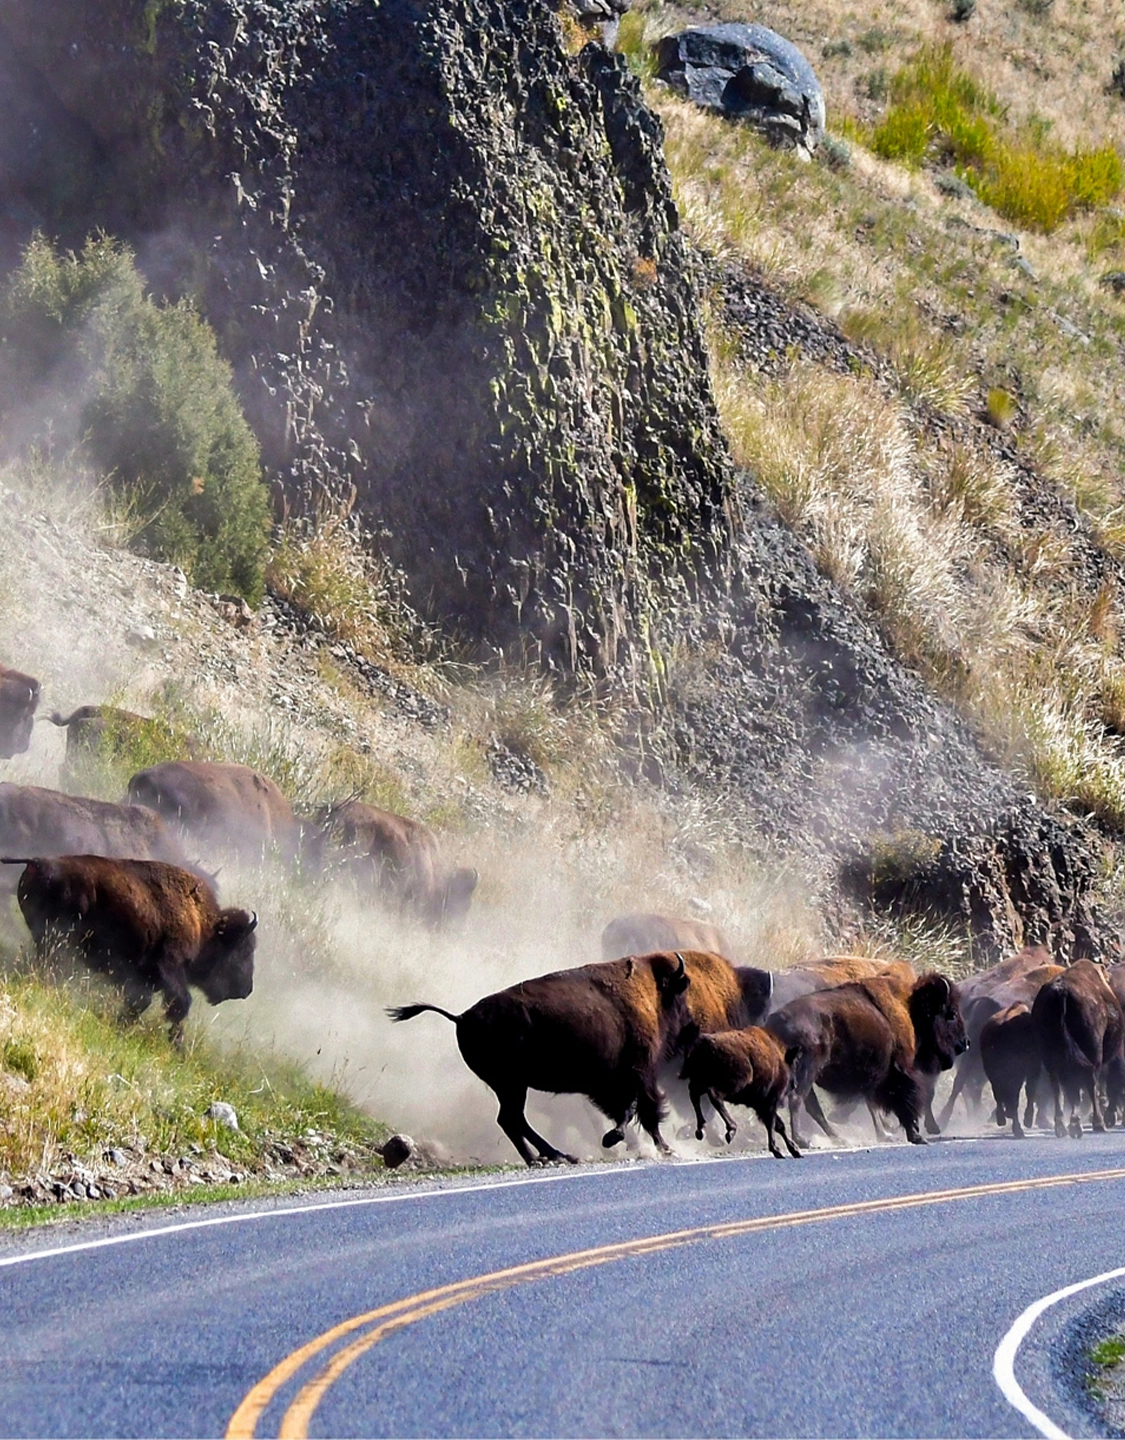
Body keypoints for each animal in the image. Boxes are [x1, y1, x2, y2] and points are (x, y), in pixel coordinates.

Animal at [7, 855, 257, 1046]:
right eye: (243, 950)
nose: (247, 989)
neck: (204, 924)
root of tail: (39, 861)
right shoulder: (169, 966)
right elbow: (178, 1005)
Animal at [388, 952, 693, 1164]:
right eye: (678, 995)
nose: (689, 1025)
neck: (650, 992)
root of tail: (461, 1017)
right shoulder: (640, 1074)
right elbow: (644, 1112)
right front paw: (663, 1149)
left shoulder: (615, 1084)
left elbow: (628, 1111)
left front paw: (617, 1139)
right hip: (511, 1085)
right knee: (511, 1119)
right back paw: (549, 1157)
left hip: (509, 1086)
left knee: (512, 1120)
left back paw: (550, 1156)